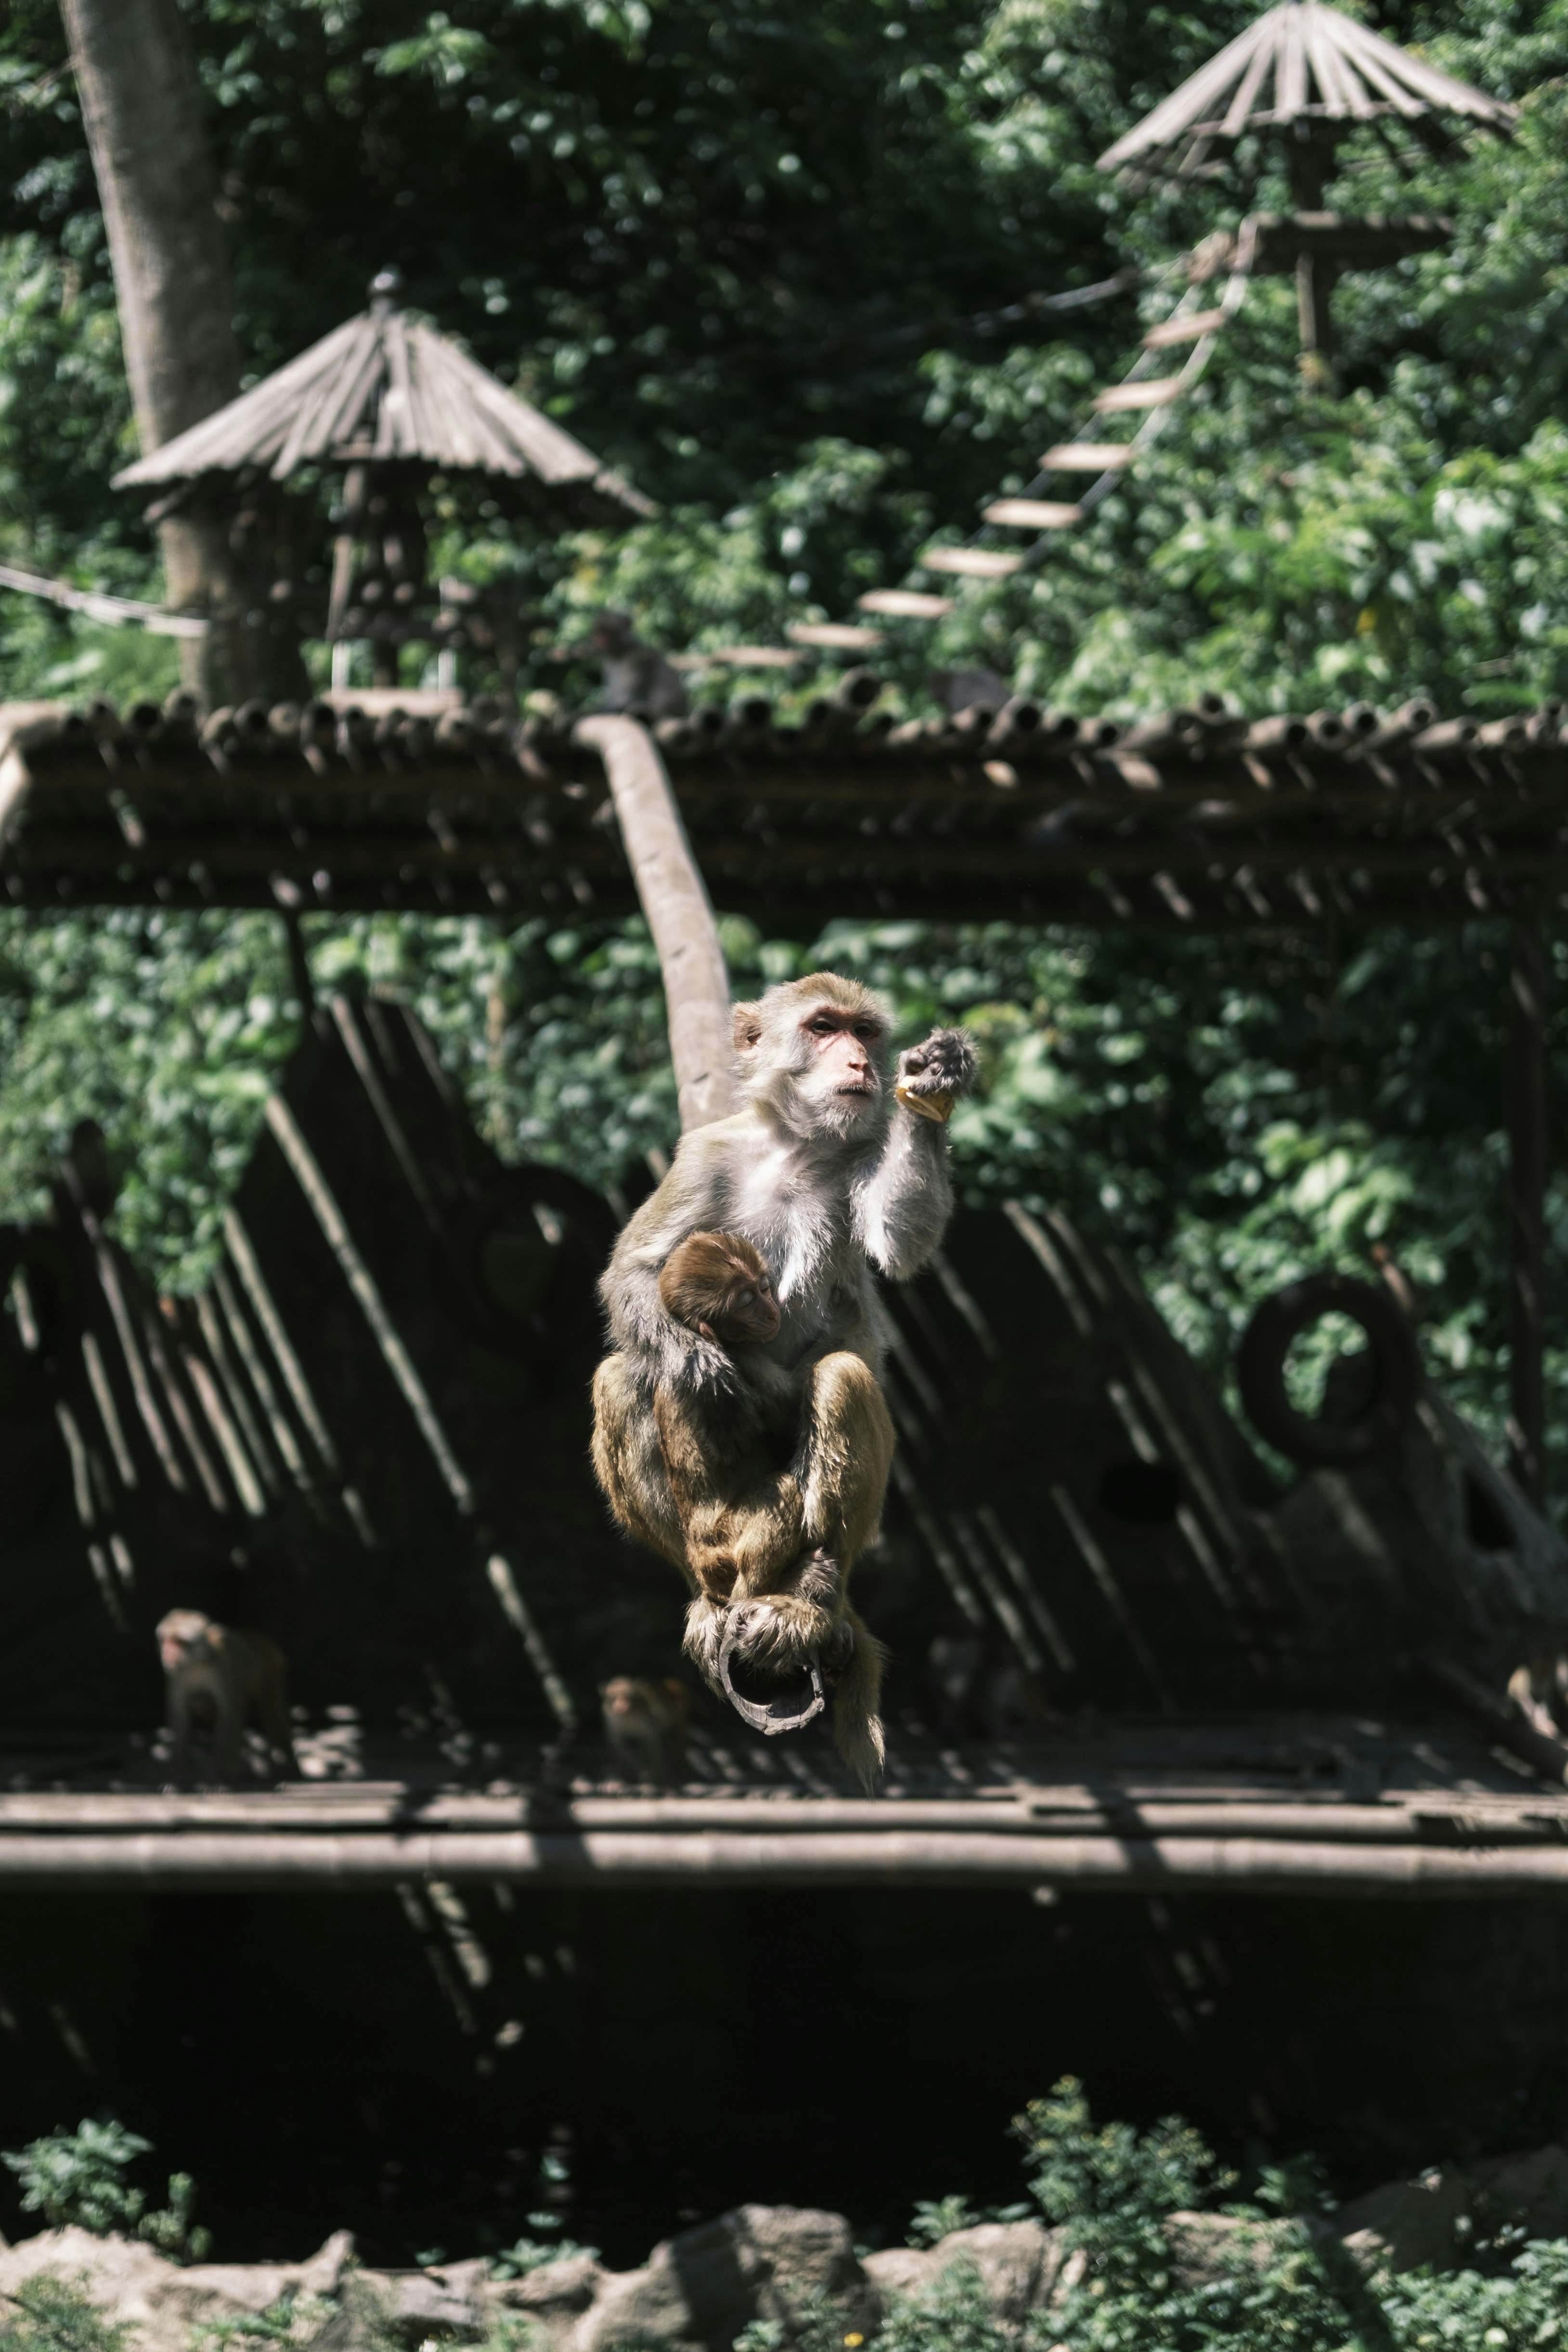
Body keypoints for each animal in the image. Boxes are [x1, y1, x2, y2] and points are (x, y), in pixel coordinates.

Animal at [156, 1609, 298, 1783]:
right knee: (202, 1703)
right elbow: (180, 1717)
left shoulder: (223, 1670)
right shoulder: (175, 1674)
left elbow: (228, 1714)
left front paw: (215, 1772)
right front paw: (177, 1770)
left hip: (268, 1670)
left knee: (271, 1715)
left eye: (180, 1642)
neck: (196, 1663)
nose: (167, 1652)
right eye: (166, 1639)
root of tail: (258, 1639)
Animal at [601, 1675, 691, 1785]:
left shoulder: (646, 1720)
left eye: (628, 1697)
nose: (622, 1705)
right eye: (614, 1697)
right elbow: (617, 1742)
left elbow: (653, 1740)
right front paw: (625, 1773)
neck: (627, 1716)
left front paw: (660, 1777)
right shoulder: (612, 1722)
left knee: (677, 1737)